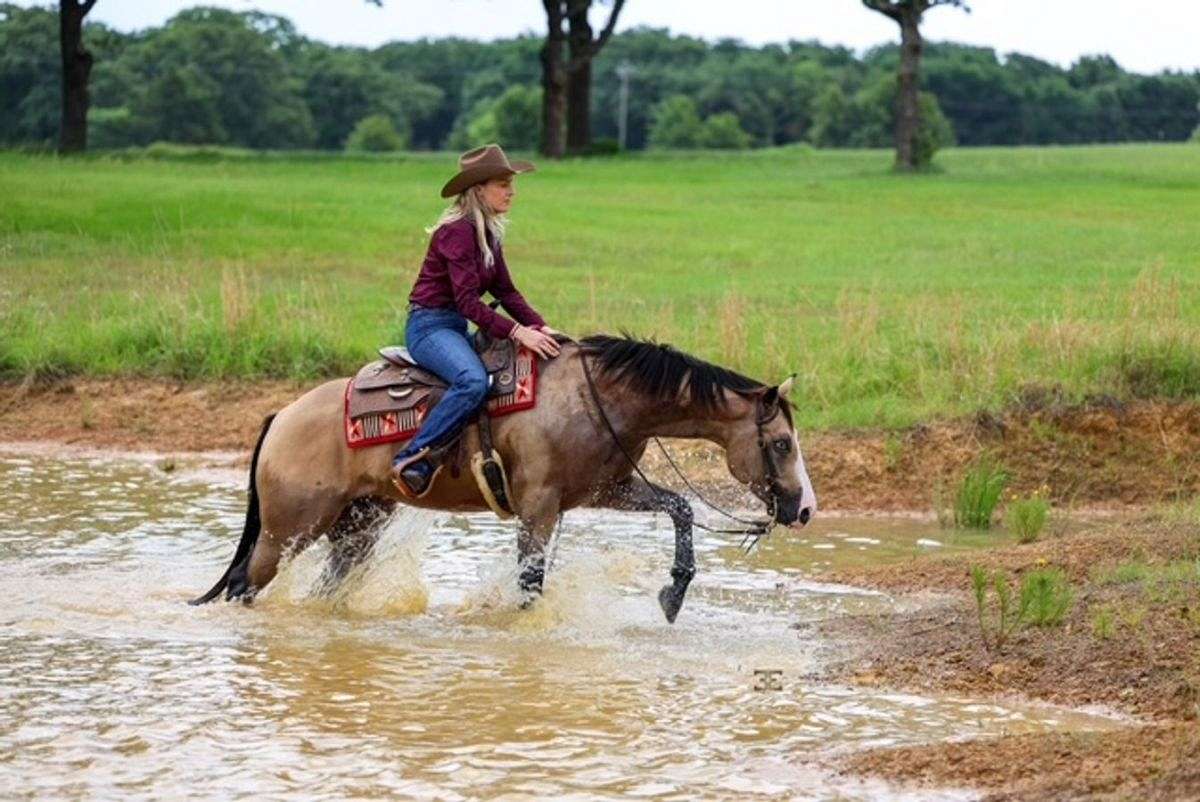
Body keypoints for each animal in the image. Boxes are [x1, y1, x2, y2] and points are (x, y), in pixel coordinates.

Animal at [190, 334, 816, 623]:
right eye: (781, 444)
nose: (804, 509)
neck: (596, 397)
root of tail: (280, 418)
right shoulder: (539, 505)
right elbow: (531, 580)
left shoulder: (607, 490)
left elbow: (680, 507)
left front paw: (673, 595)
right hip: (286, 530)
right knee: (244, 583)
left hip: (357, 526)